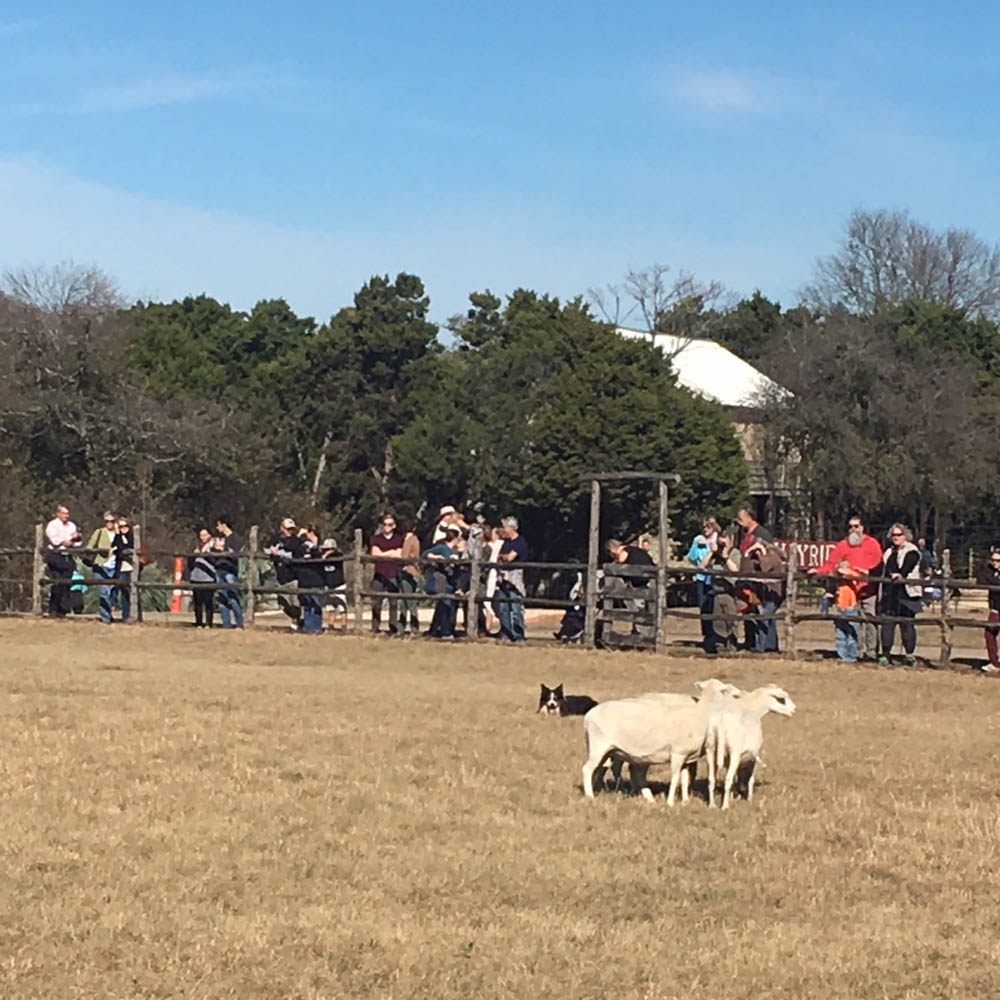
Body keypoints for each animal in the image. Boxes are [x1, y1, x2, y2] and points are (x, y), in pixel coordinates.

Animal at [581, 678, 739, 805]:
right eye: (726, 691)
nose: (738, 695)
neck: (700, 714)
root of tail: (589, 715)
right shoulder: (677, 754)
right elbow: (675, 778)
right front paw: (670, 802)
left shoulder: (687, 758)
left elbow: (684, 778)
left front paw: (685, 800)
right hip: (599, 746)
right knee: (588, 769)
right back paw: (590, 796)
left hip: (610, 750)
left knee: (601, 769)